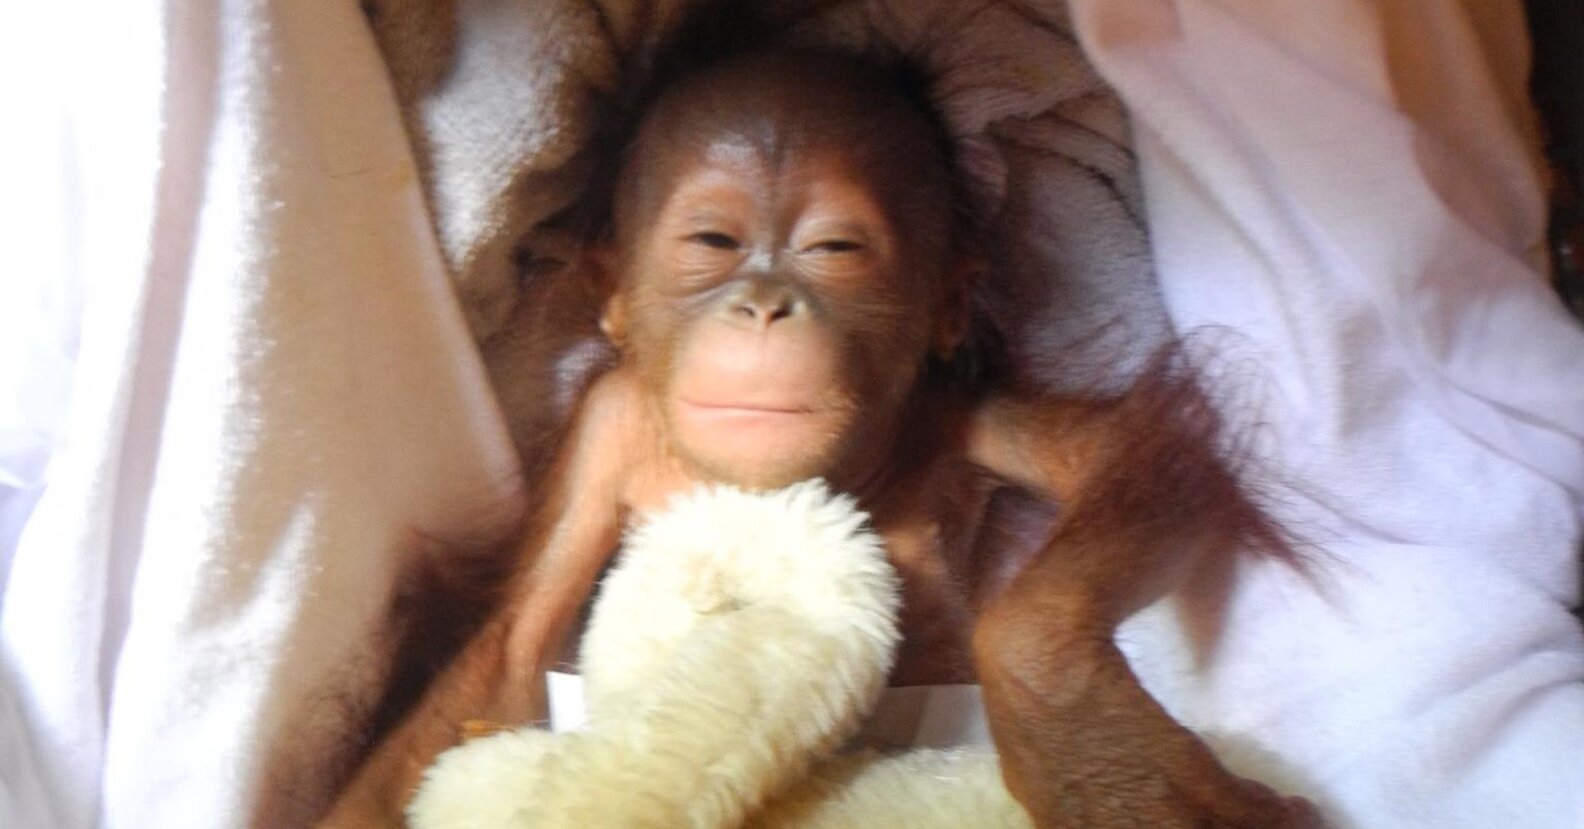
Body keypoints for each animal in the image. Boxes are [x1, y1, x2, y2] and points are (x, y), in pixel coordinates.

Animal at [318, 49, 1323, 829]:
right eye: (712, 240)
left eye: (836, 250)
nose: (764, 303)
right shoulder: (605, 416)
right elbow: (512, 647)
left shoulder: (952, 404)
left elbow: (1121, 458)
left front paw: (1090, 745)